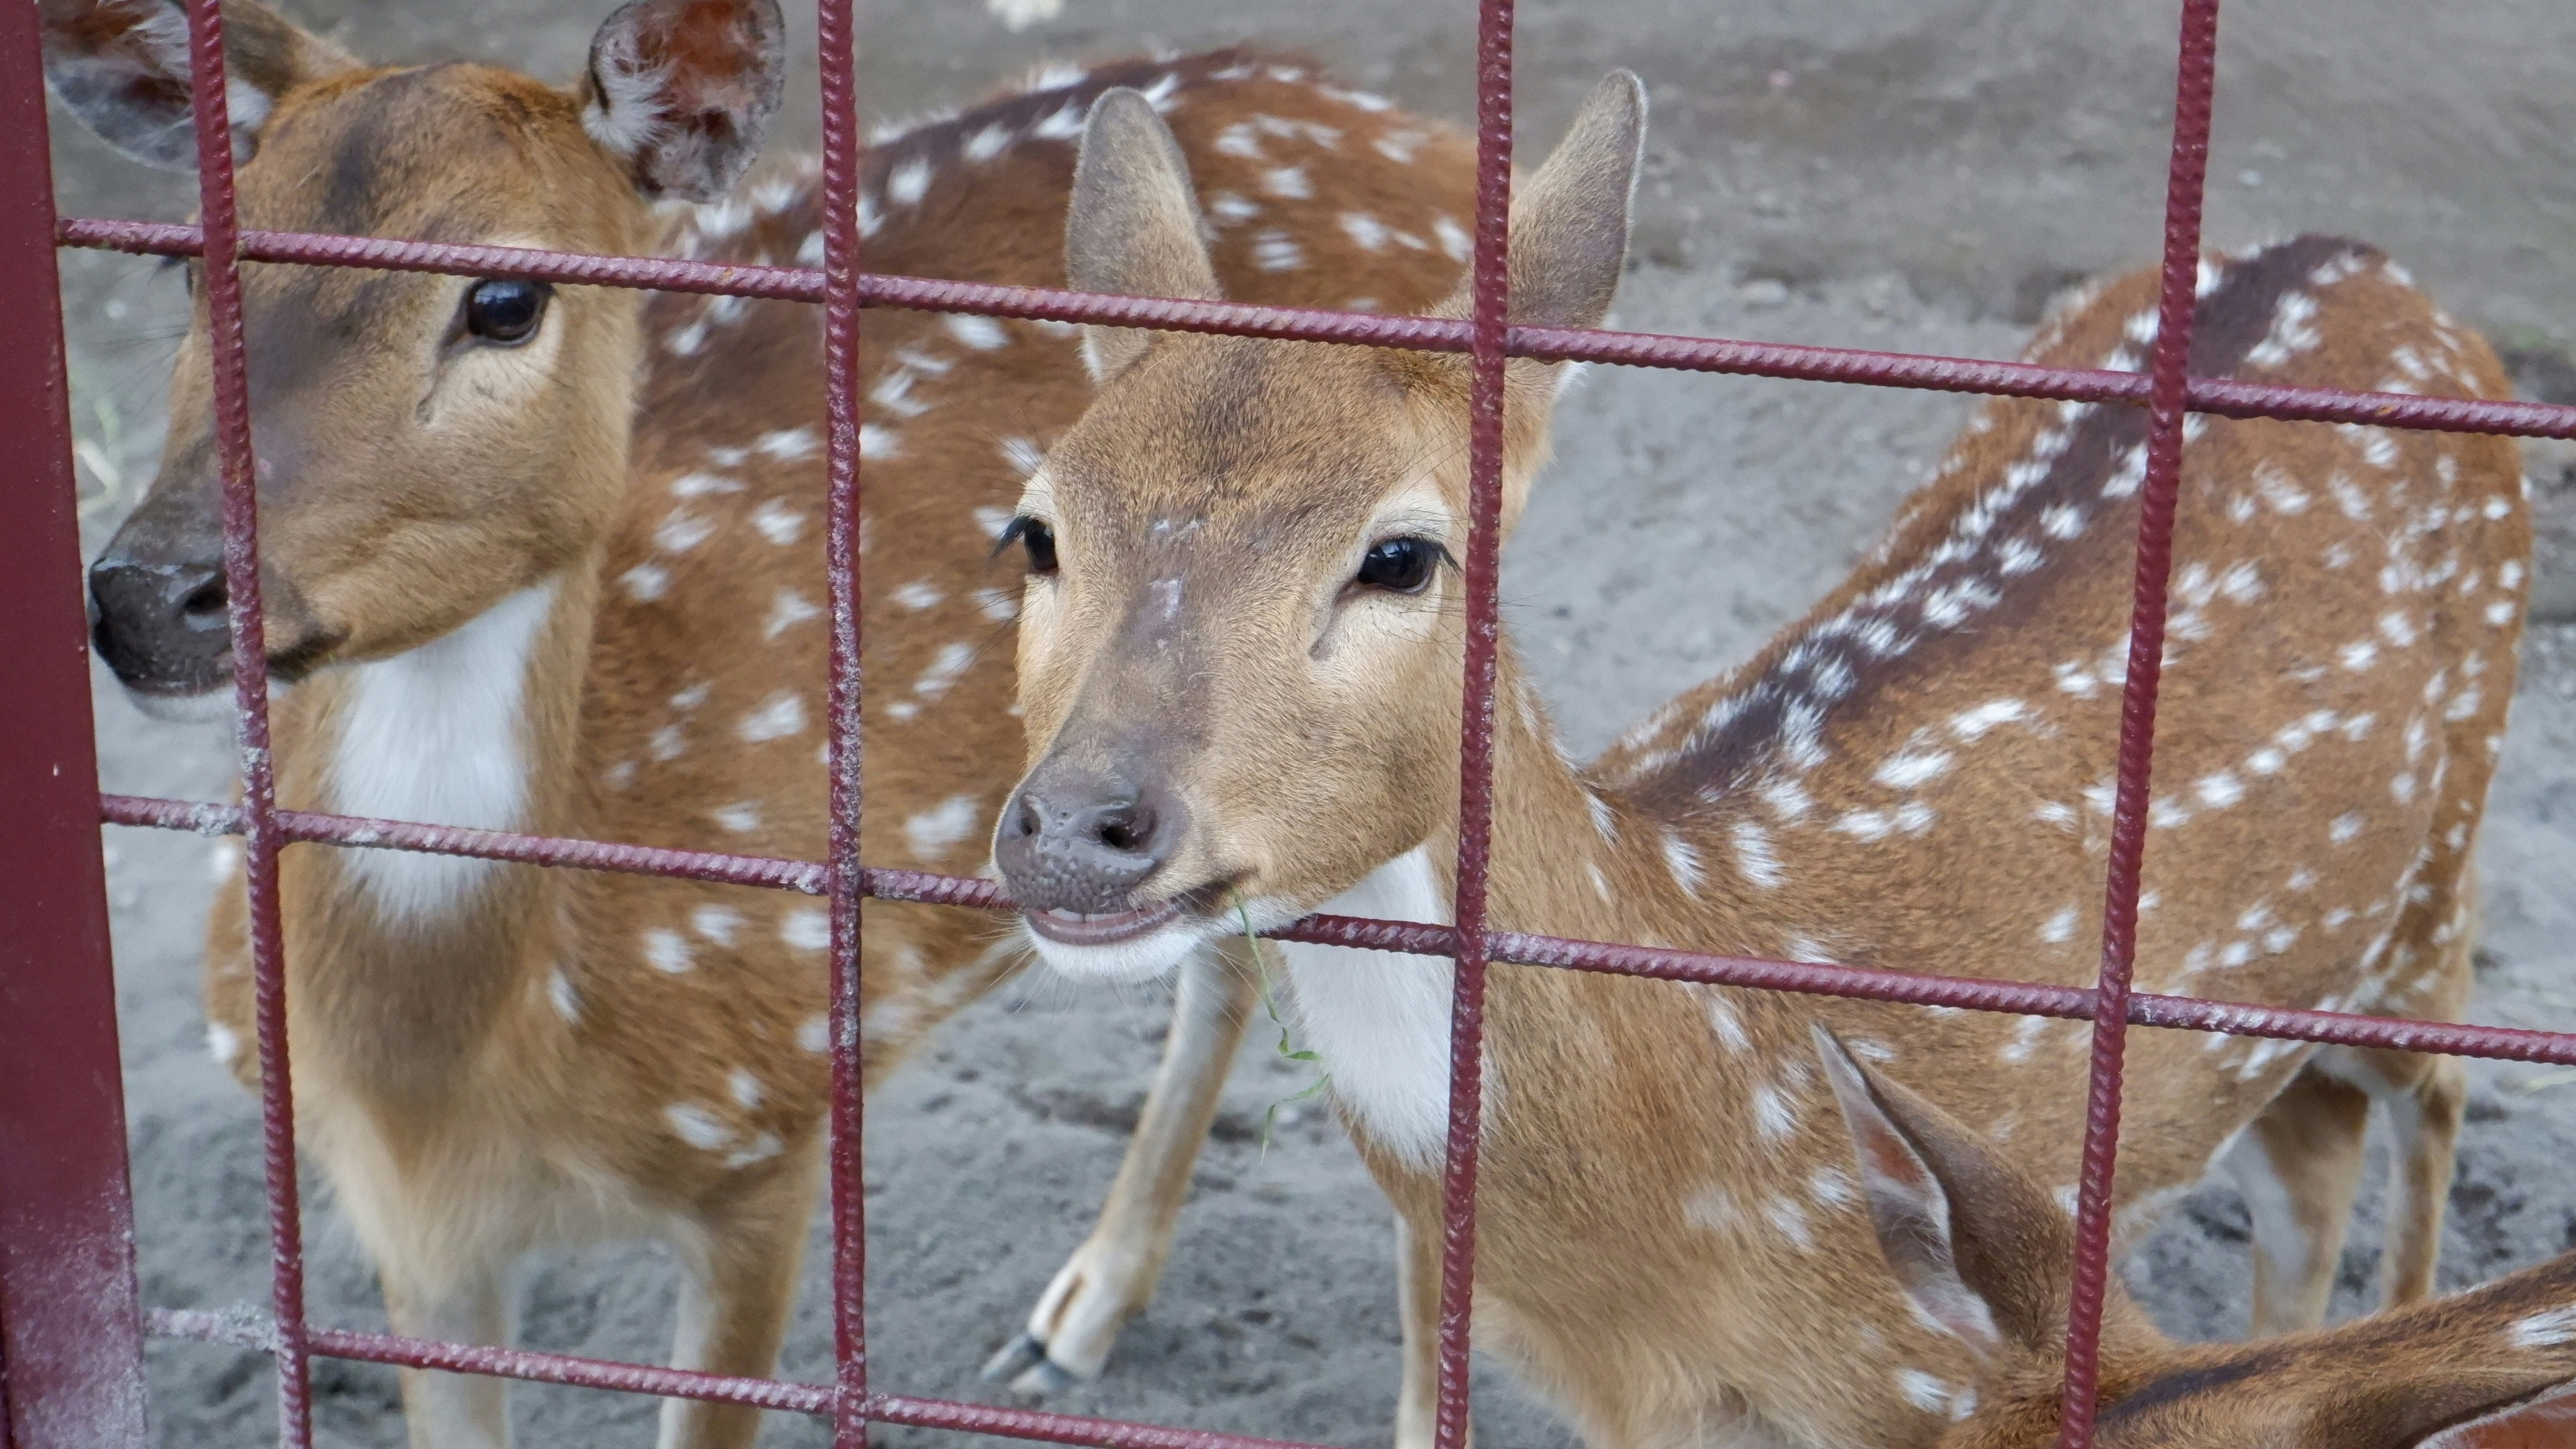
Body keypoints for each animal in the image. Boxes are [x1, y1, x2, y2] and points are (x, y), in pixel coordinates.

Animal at [46, 0, 1483, 1443]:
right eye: (183, 269)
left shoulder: (772, 1124)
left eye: (503, 299)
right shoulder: (410, 1231)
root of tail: (1378, 116)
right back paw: (1075, 1319)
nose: (149, 591)